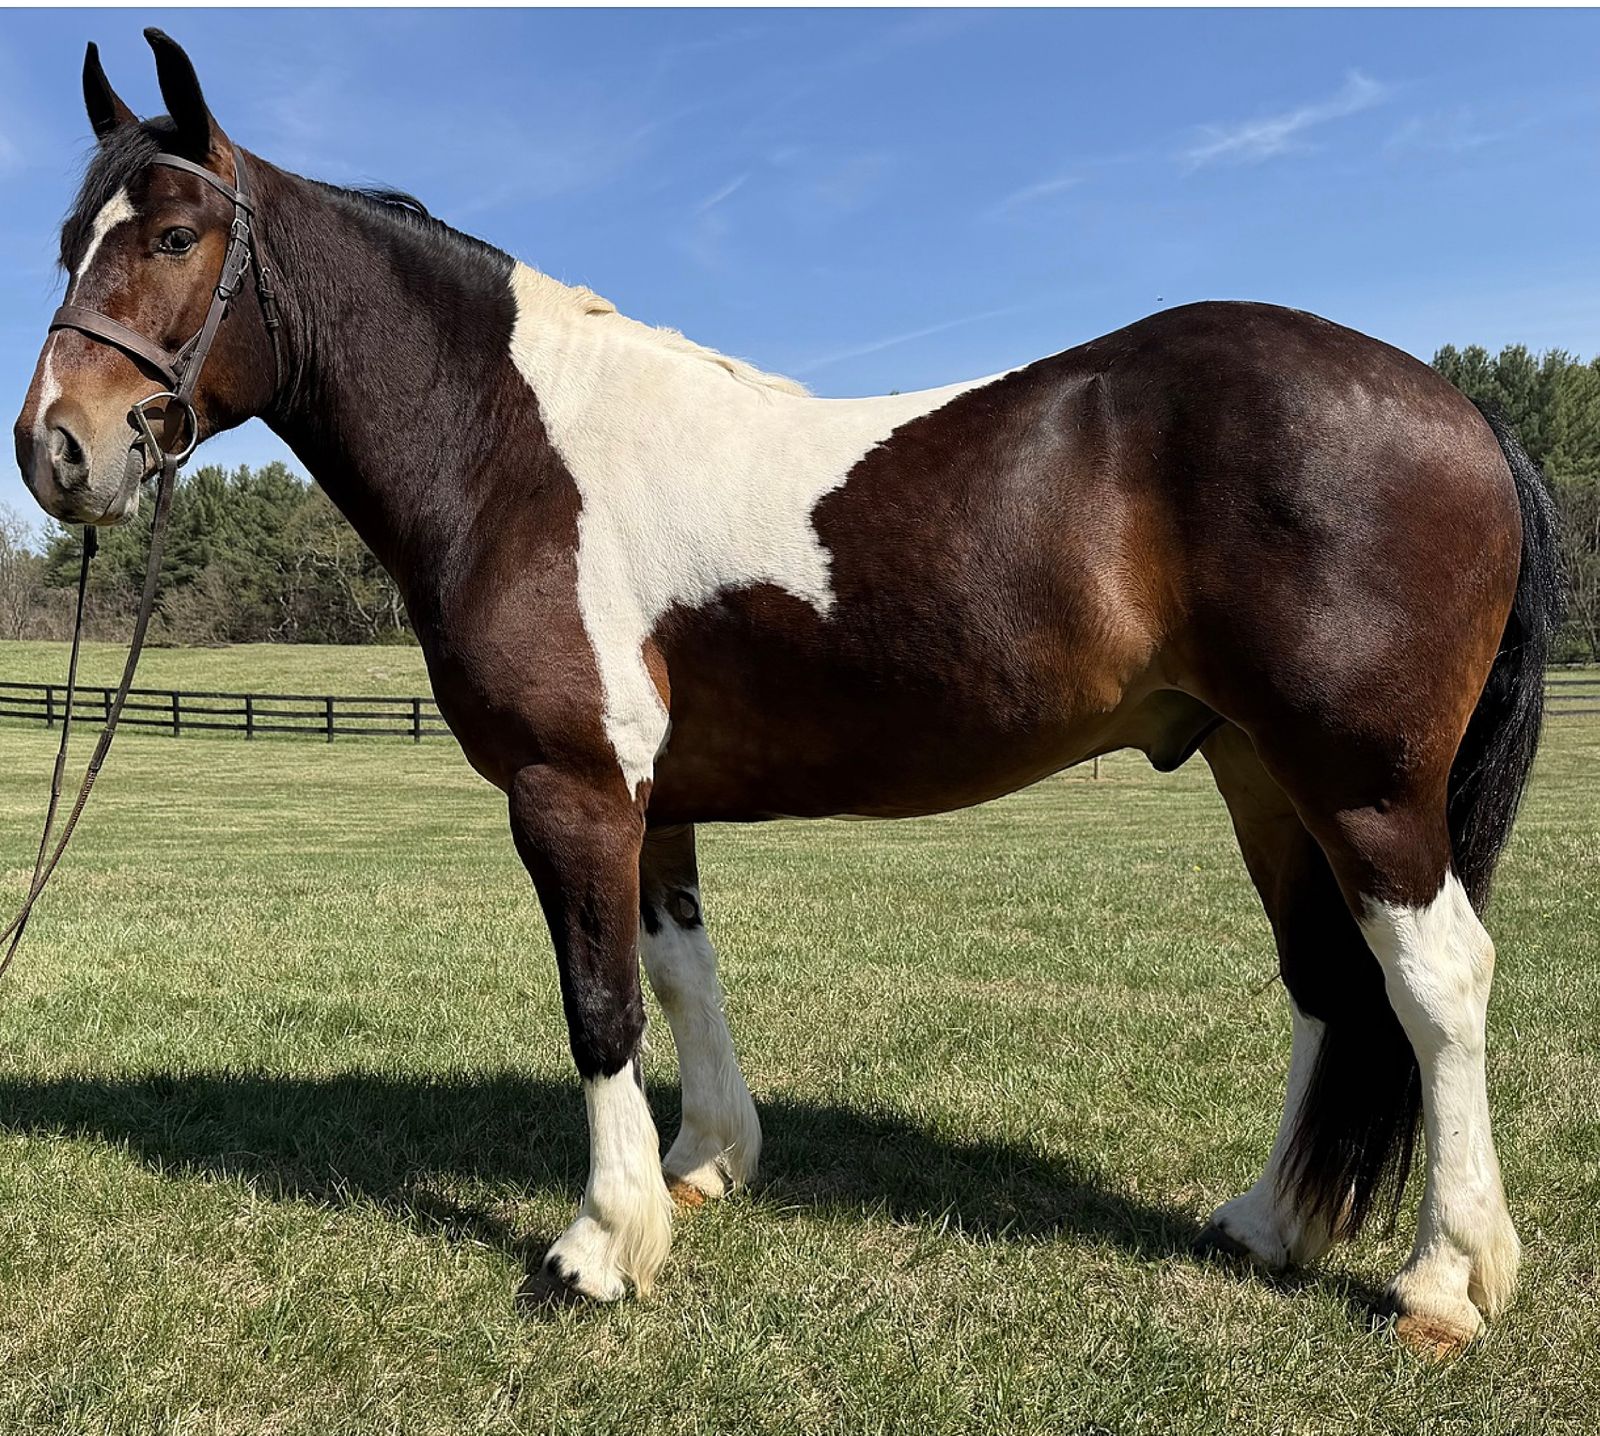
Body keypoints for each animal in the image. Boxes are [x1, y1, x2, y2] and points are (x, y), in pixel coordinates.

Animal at [13, 32, 1562, 1353]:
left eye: (173, 235)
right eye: (67, 241)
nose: (59, 449)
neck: (512, 451)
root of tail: (1458, 406)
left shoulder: (569, 791)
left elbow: (598, 1005)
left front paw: (600, 1246)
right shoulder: (652, 801)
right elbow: (677, 970)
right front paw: (703, 1167)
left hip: (1362, 783)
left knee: (1436, 981)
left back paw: (1443, 1281)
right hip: (1261, 772)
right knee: (1327, 981)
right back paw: (1269, 1225)